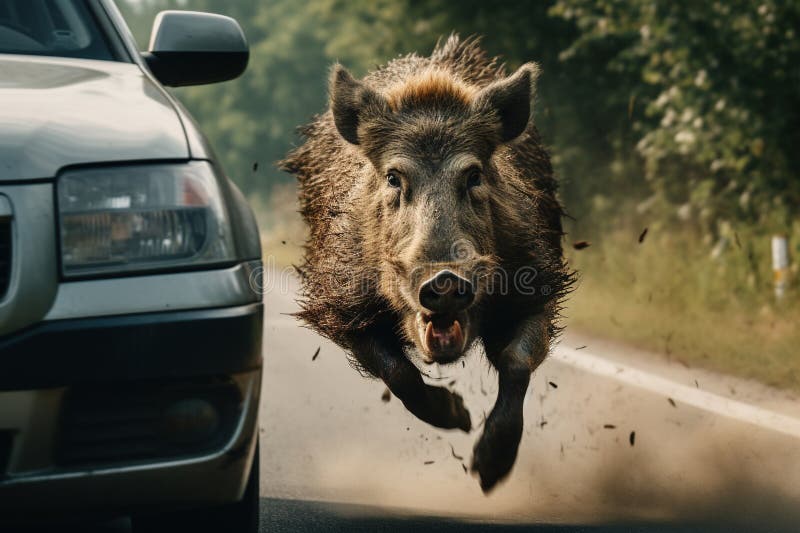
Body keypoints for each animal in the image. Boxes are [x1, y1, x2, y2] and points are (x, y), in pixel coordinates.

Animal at [281, 35, 573, 492]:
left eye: (473, 175)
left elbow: (517, 361)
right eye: (393, 178)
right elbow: (398, 374)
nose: (444, 280)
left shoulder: (537, 284)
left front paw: (488, 472)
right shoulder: (343, 305)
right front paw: (460, 417)